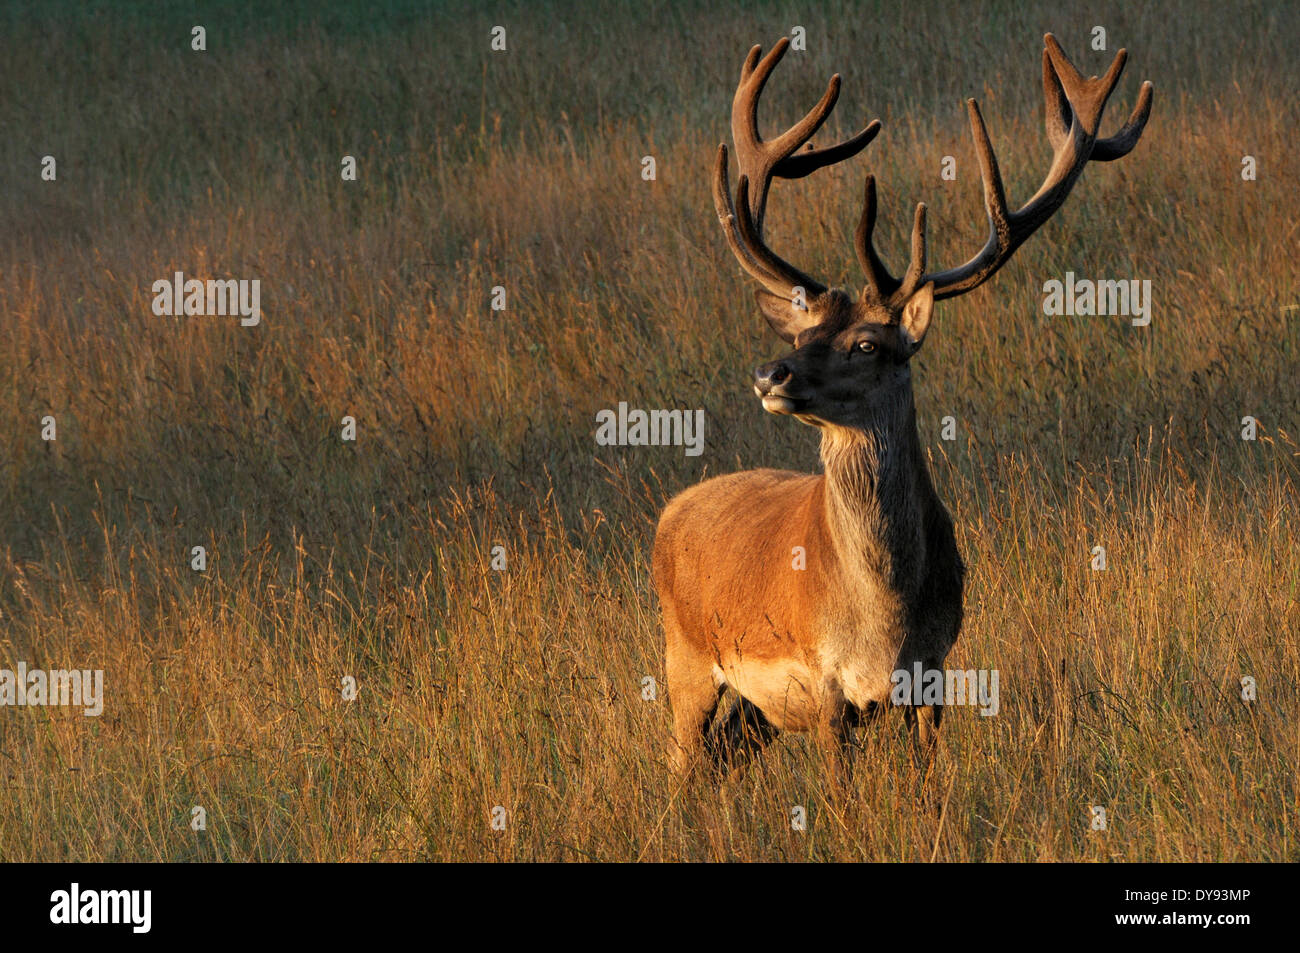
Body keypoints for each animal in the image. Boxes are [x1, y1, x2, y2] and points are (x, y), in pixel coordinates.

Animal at [653, 34, 1152, 775]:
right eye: (801, 334)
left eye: (865, 344)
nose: (769, 373)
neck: (881, 622)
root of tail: (671, 511)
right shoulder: (822, 684)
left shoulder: (935, 669)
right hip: (685, 659)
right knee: (682, 769)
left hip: (751, 710)